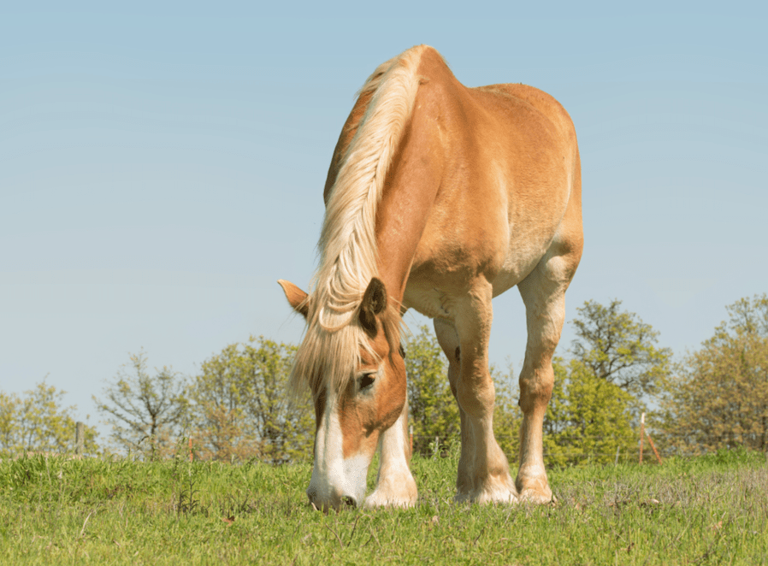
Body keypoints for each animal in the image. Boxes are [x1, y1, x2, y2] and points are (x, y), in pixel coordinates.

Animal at [278, 45, 582, 510]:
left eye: (366, 379)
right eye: (312, 381)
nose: (327, 497)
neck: (440, 153)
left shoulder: (473, 297)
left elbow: (479, 388)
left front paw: (495, 487)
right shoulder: (396, 300)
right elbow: (416, 392)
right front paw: (394, 491)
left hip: (550, 278)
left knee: (534, 383)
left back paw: (531, 486)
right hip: (444, 317)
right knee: (458, 382)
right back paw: (466, 485)